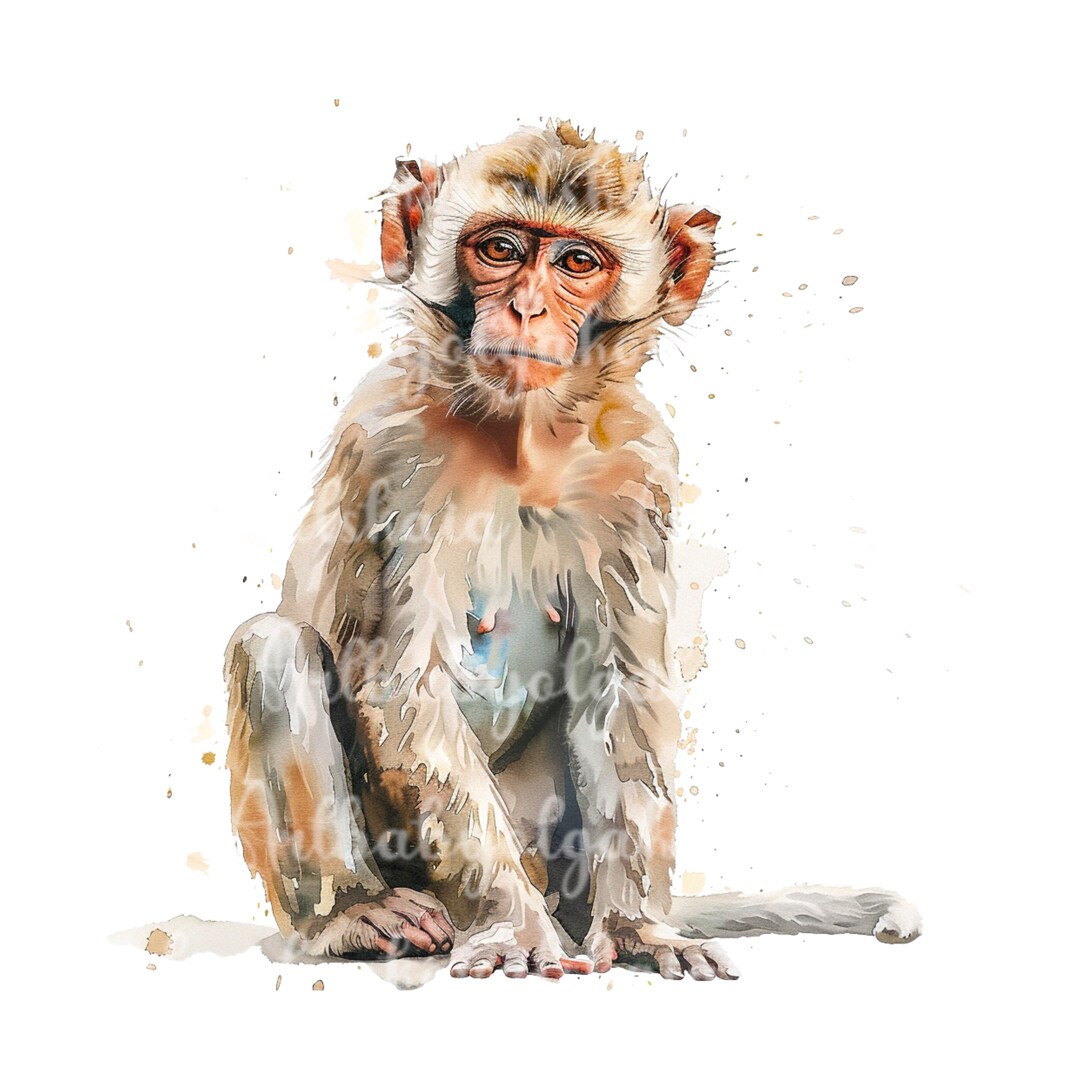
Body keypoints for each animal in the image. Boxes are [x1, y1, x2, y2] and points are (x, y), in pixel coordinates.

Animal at [224, 121, 921, 981]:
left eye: (578, 263)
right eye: (499, 249)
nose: (525, 309)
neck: (520, 439)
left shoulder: (637, 472)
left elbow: (621, 693)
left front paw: (640, 931)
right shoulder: (387, 448)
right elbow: (402, 686)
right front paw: (512, 928)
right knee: (271, 645)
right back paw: (354, 915)